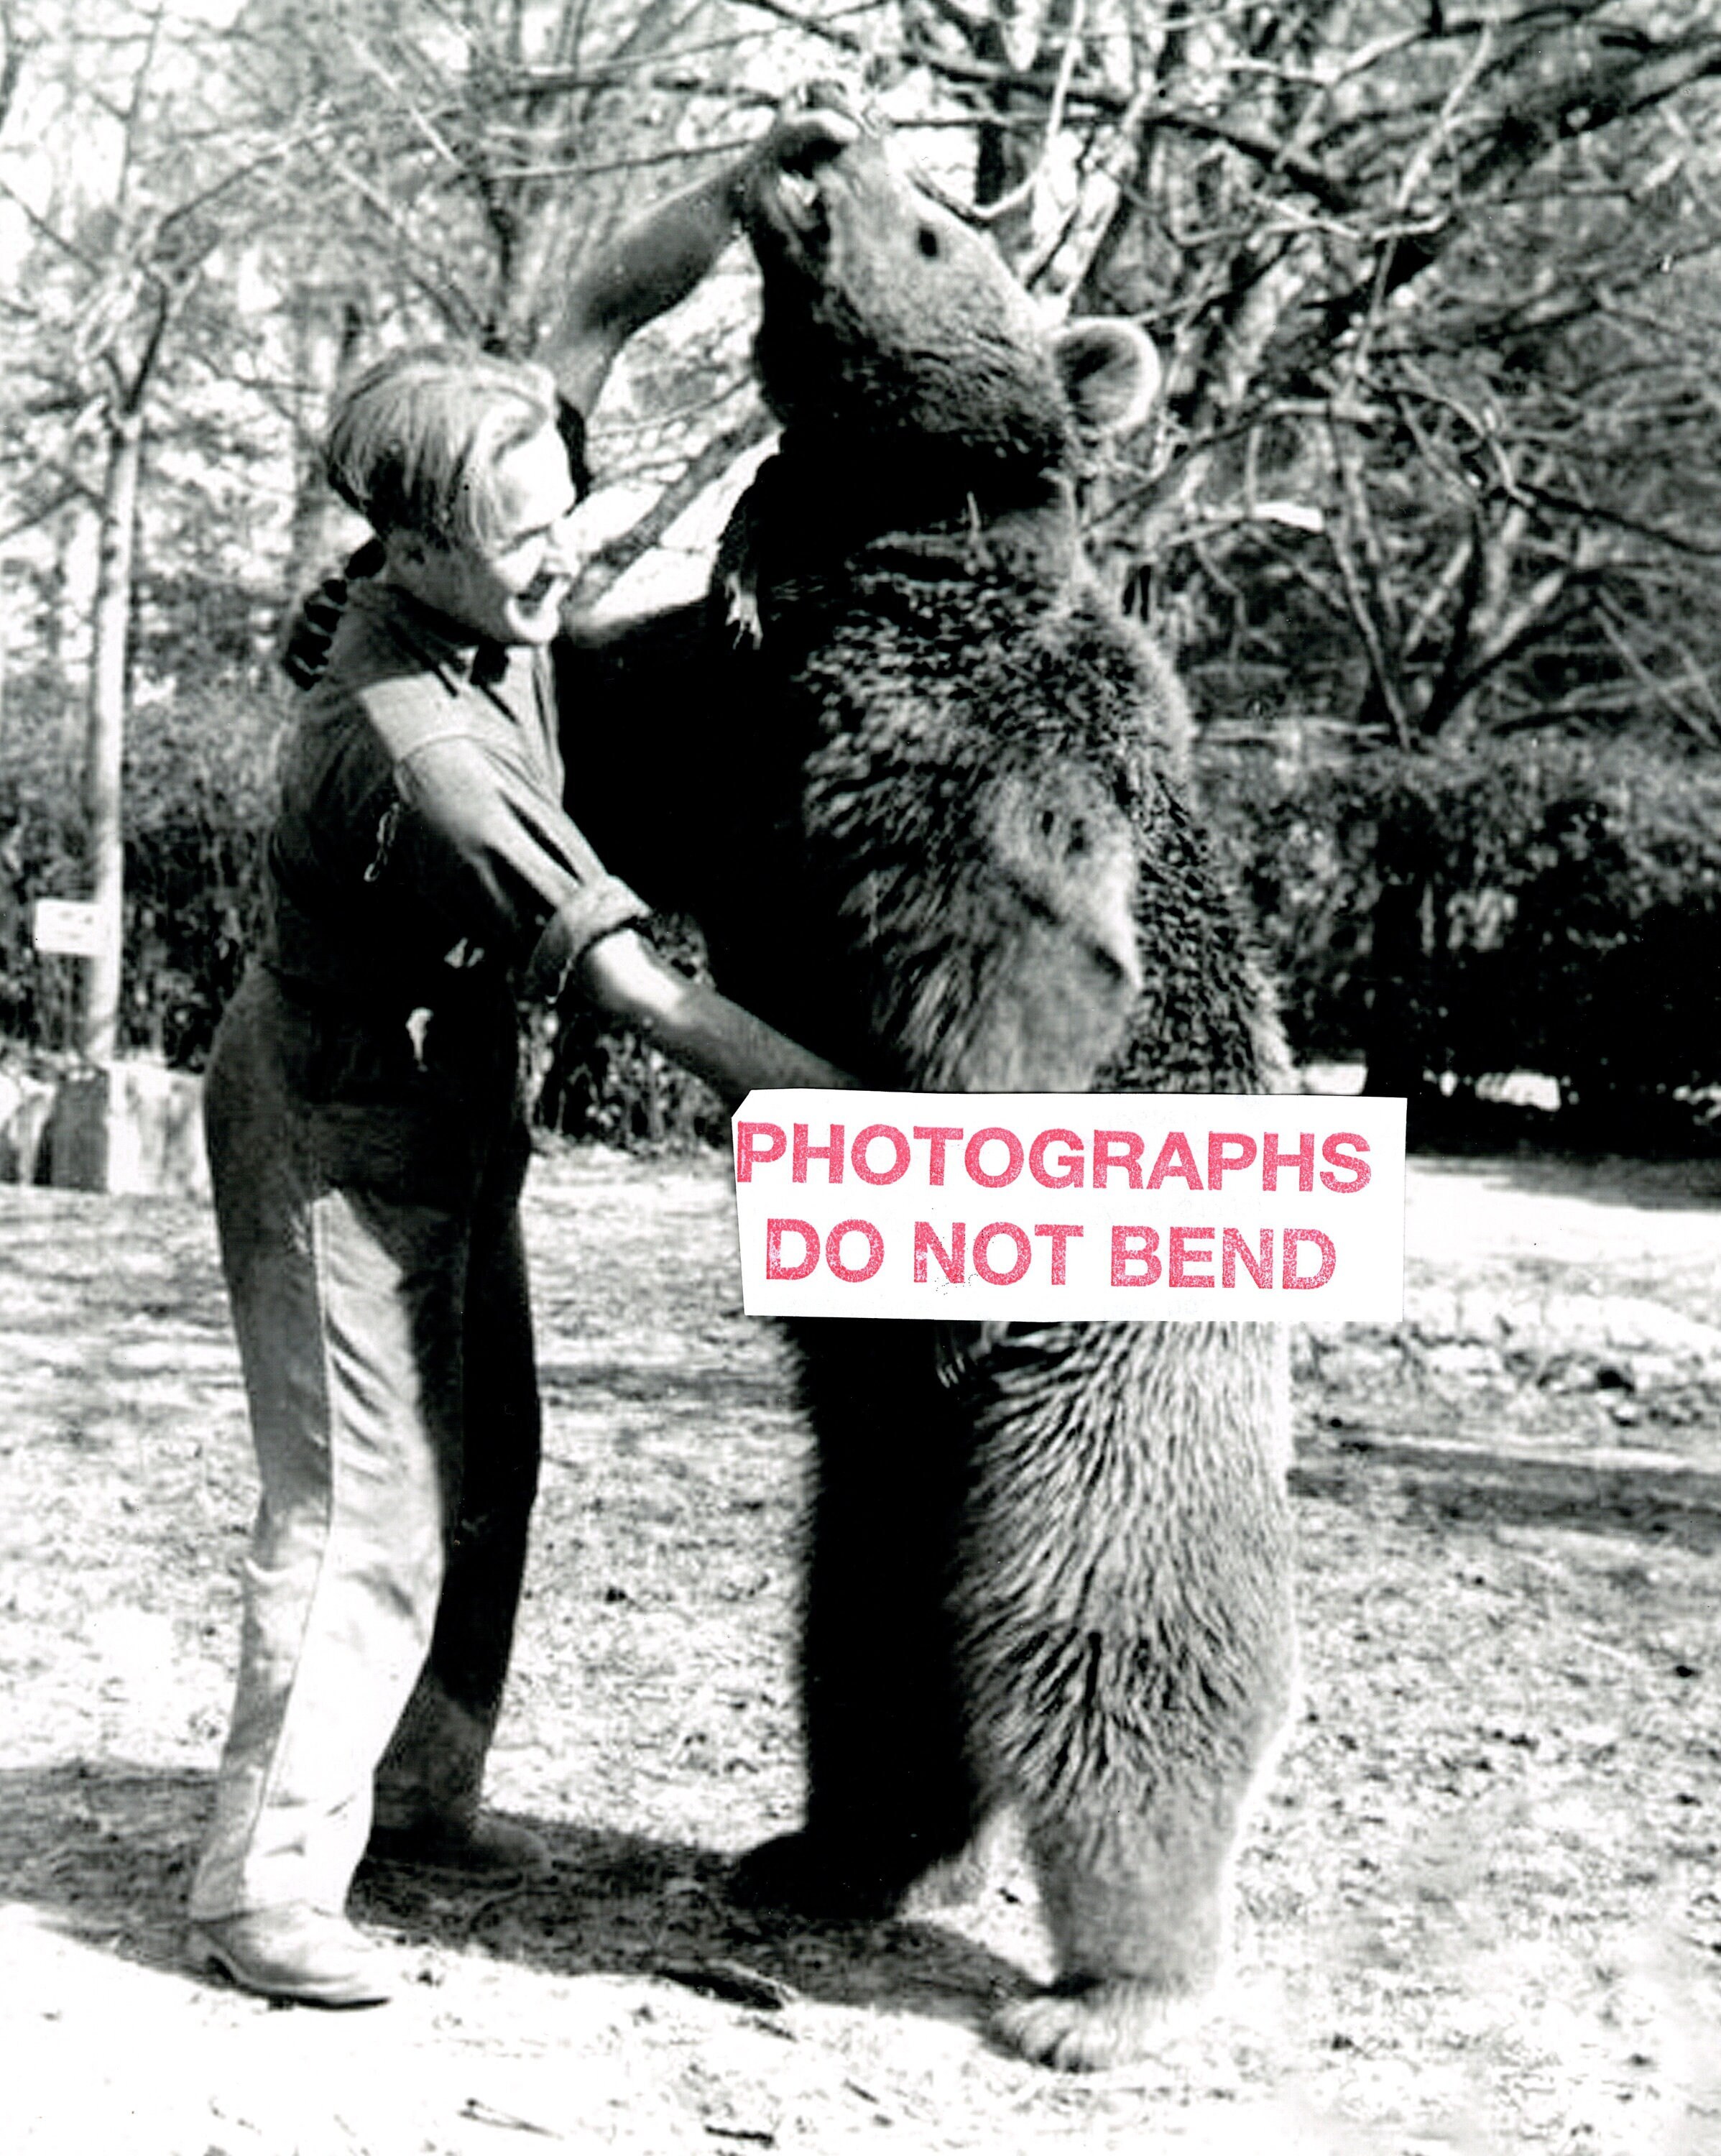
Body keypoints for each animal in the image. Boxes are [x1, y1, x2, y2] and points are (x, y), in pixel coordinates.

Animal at [557, 91, 1296, 2073]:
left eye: (945, 235)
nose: (813, 133)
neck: (873, 562)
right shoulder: (728, 701)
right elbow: (611, 727)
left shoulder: (983, 737)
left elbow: (1027, 932)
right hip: (888, 1463)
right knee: (871, 1642)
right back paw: (827, 1849)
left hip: (1104, 1398)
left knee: (1112, 1649)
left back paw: (1111, 1991)